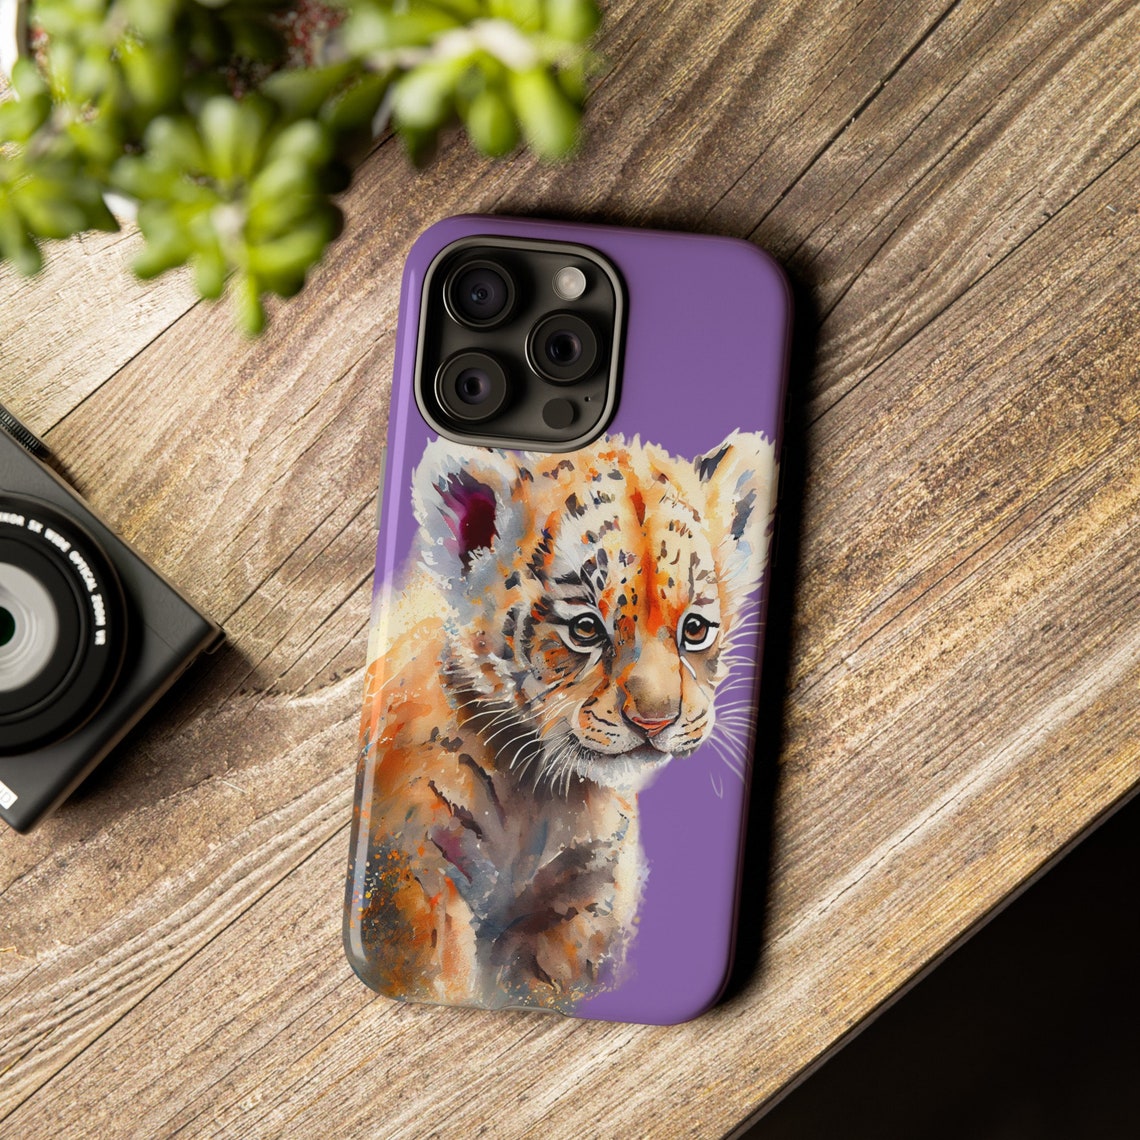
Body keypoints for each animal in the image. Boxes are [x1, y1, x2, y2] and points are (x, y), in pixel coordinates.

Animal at [348, 430, 777, 1012]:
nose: (655, 720)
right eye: (585, 629)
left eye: (694, 628)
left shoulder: (579, 898)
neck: (543, 799)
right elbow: (437, 968)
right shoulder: (416, 872)